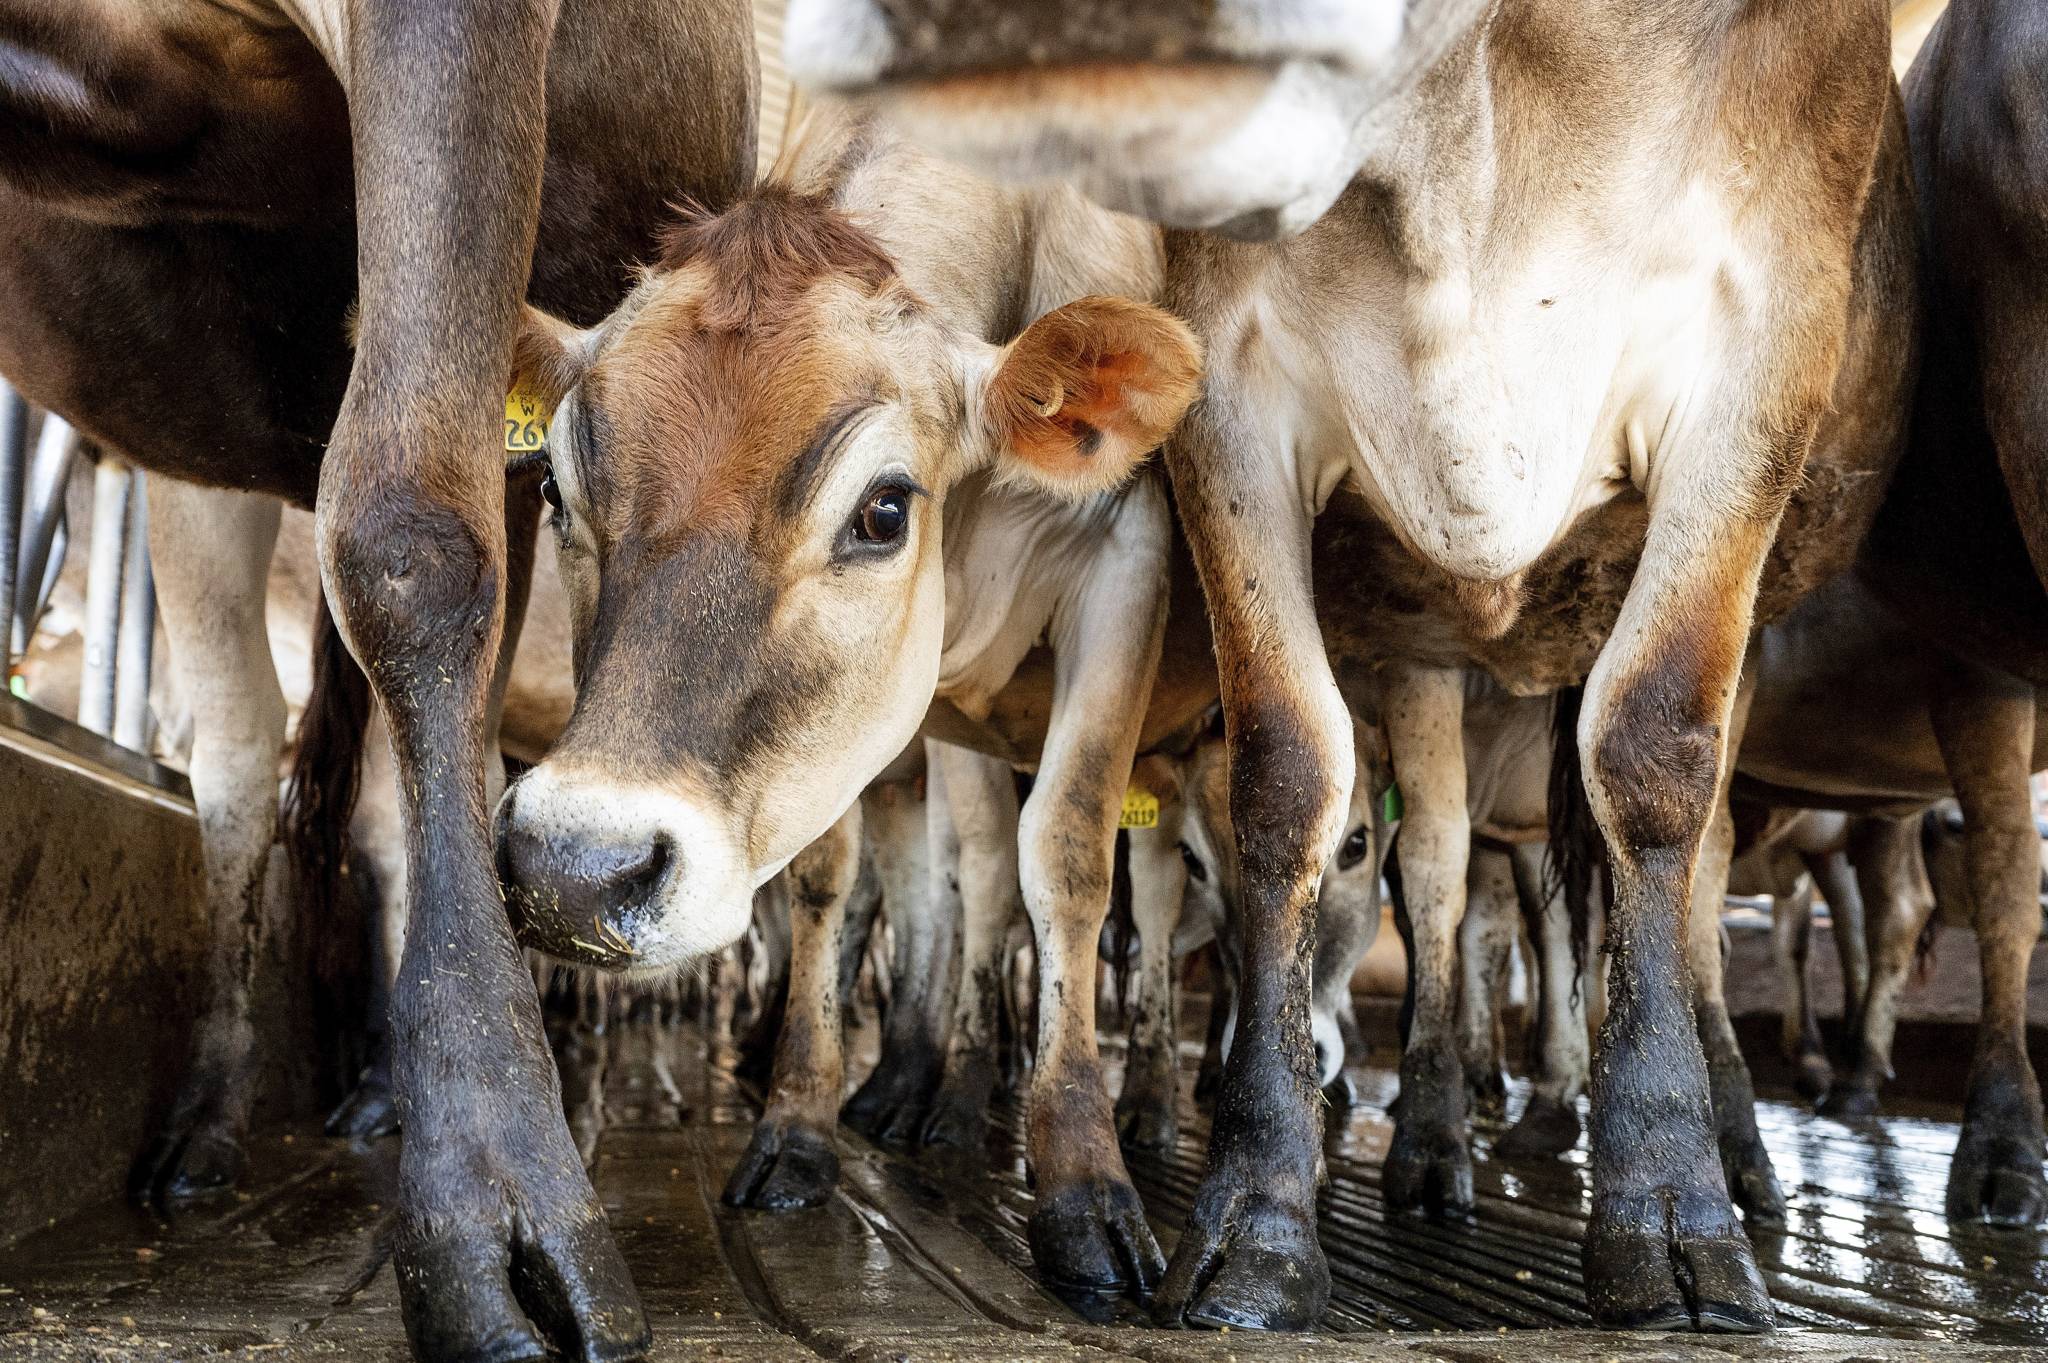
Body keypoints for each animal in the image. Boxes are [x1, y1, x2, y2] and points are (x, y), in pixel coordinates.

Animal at [785, 0, 1920, 1335]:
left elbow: (1646, 747)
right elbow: (1285, 765)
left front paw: (1668, 1208)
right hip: (1424, 655)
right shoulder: (1226, 371)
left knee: (1691, 872)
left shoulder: (1762, 336)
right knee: (1436, 863)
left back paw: (1732, 1149)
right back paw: (1427, 1141)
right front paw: (1261, 1217)